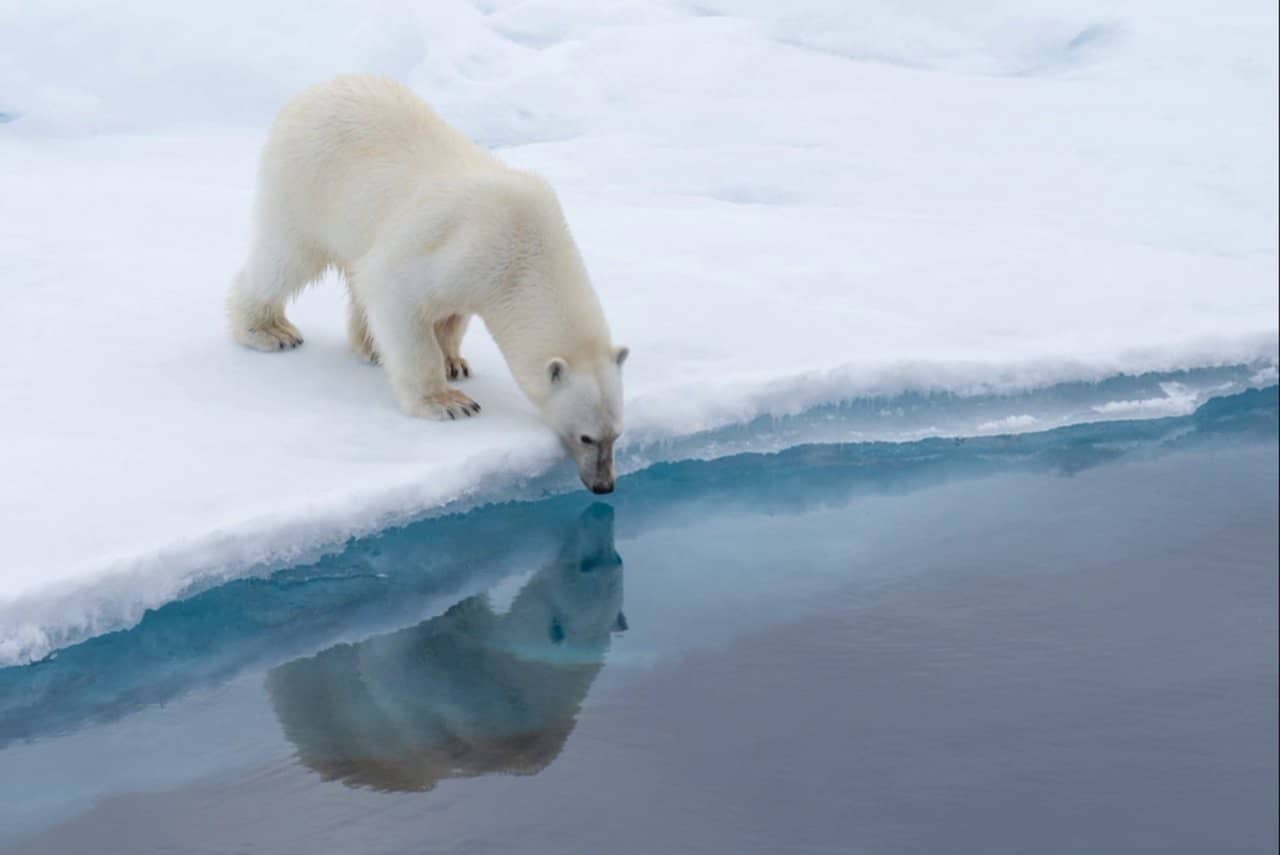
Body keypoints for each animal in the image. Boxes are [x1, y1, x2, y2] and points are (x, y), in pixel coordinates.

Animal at [226, 75, 628, 493]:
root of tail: (312, 92)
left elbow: (449, 312)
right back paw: (268, 330)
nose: (604, 485)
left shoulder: (482, 274)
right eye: (586, 437)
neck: (528, 244)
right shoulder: (466, 248)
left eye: (617, 433)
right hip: (306, 182)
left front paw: (453, 362)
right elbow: (393, 290)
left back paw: (370, 347)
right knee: (285, 257)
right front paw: (448, 401)